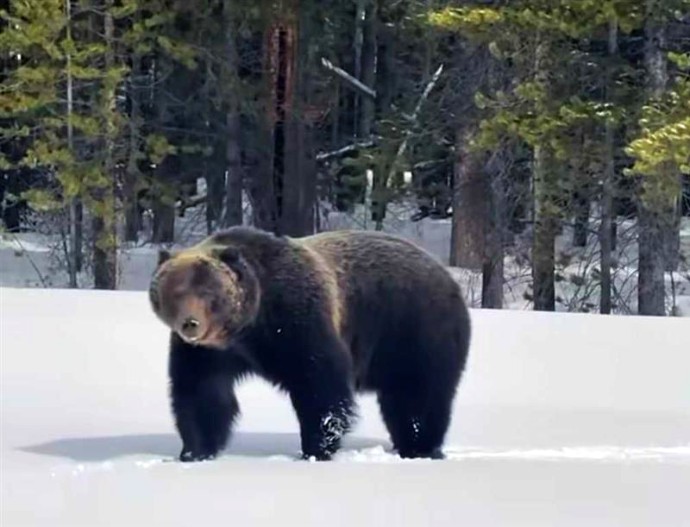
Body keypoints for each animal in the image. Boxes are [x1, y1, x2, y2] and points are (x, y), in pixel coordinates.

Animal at [148, 226, 471, 462]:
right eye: (174, 292)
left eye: (209, 292)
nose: (191, 324)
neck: (248, 327)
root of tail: (446, 273)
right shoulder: (208, 353)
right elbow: (200, 393)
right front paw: (194, 451)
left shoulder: (297, 322)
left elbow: (320, 385)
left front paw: (316, 448)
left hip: (415, 330)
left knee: (419, 395)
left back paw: (421, 447)